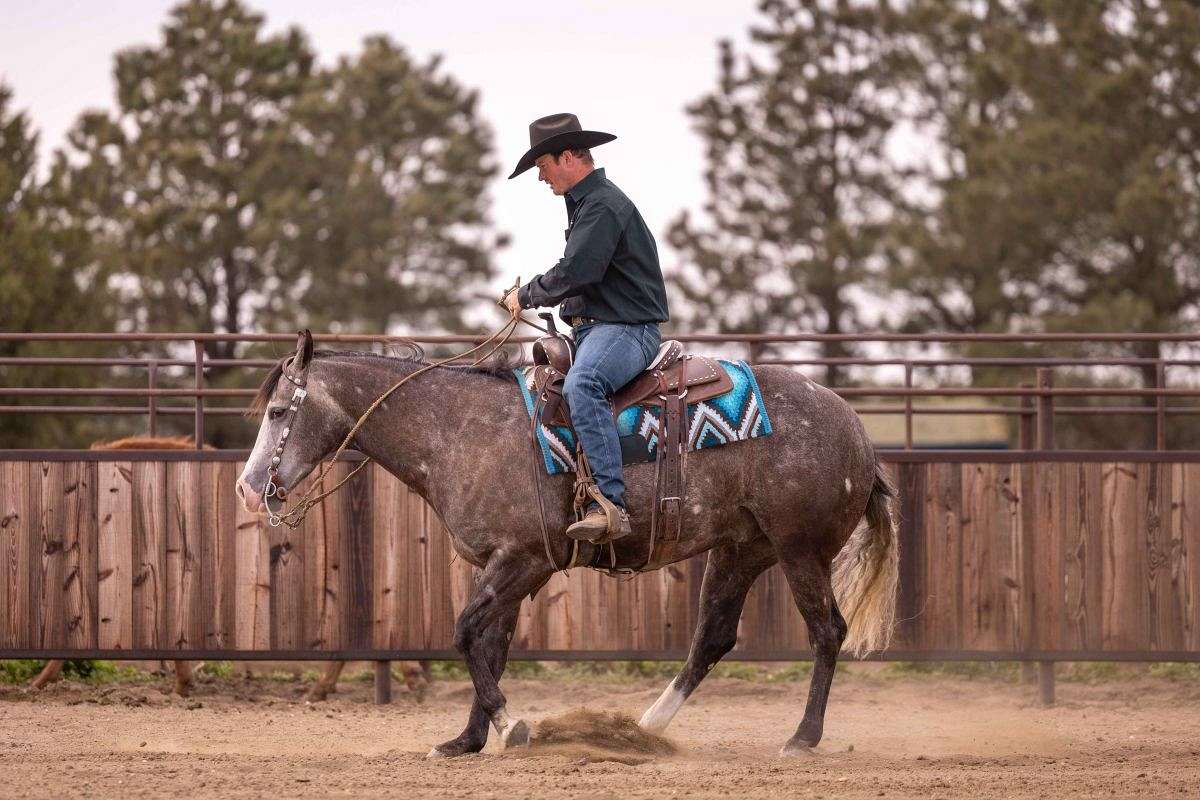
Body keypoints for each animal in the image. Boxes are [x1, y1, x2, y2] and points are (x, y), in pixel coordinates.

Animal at [235, 330, 899, 757]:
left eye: (277, 412)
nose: (246, 488)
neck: (457, 430)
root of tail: (856, 430)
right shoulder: (505, 564)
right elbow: (489, 643)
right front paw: (469, 739)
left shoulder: (524, 560)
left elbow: (465, 633)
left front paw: (510, 725)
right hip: (741, 550)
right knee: (712, 638)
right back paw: (647, 727)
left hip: (800, 549)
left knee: (827, 632)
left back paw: (802, 738)